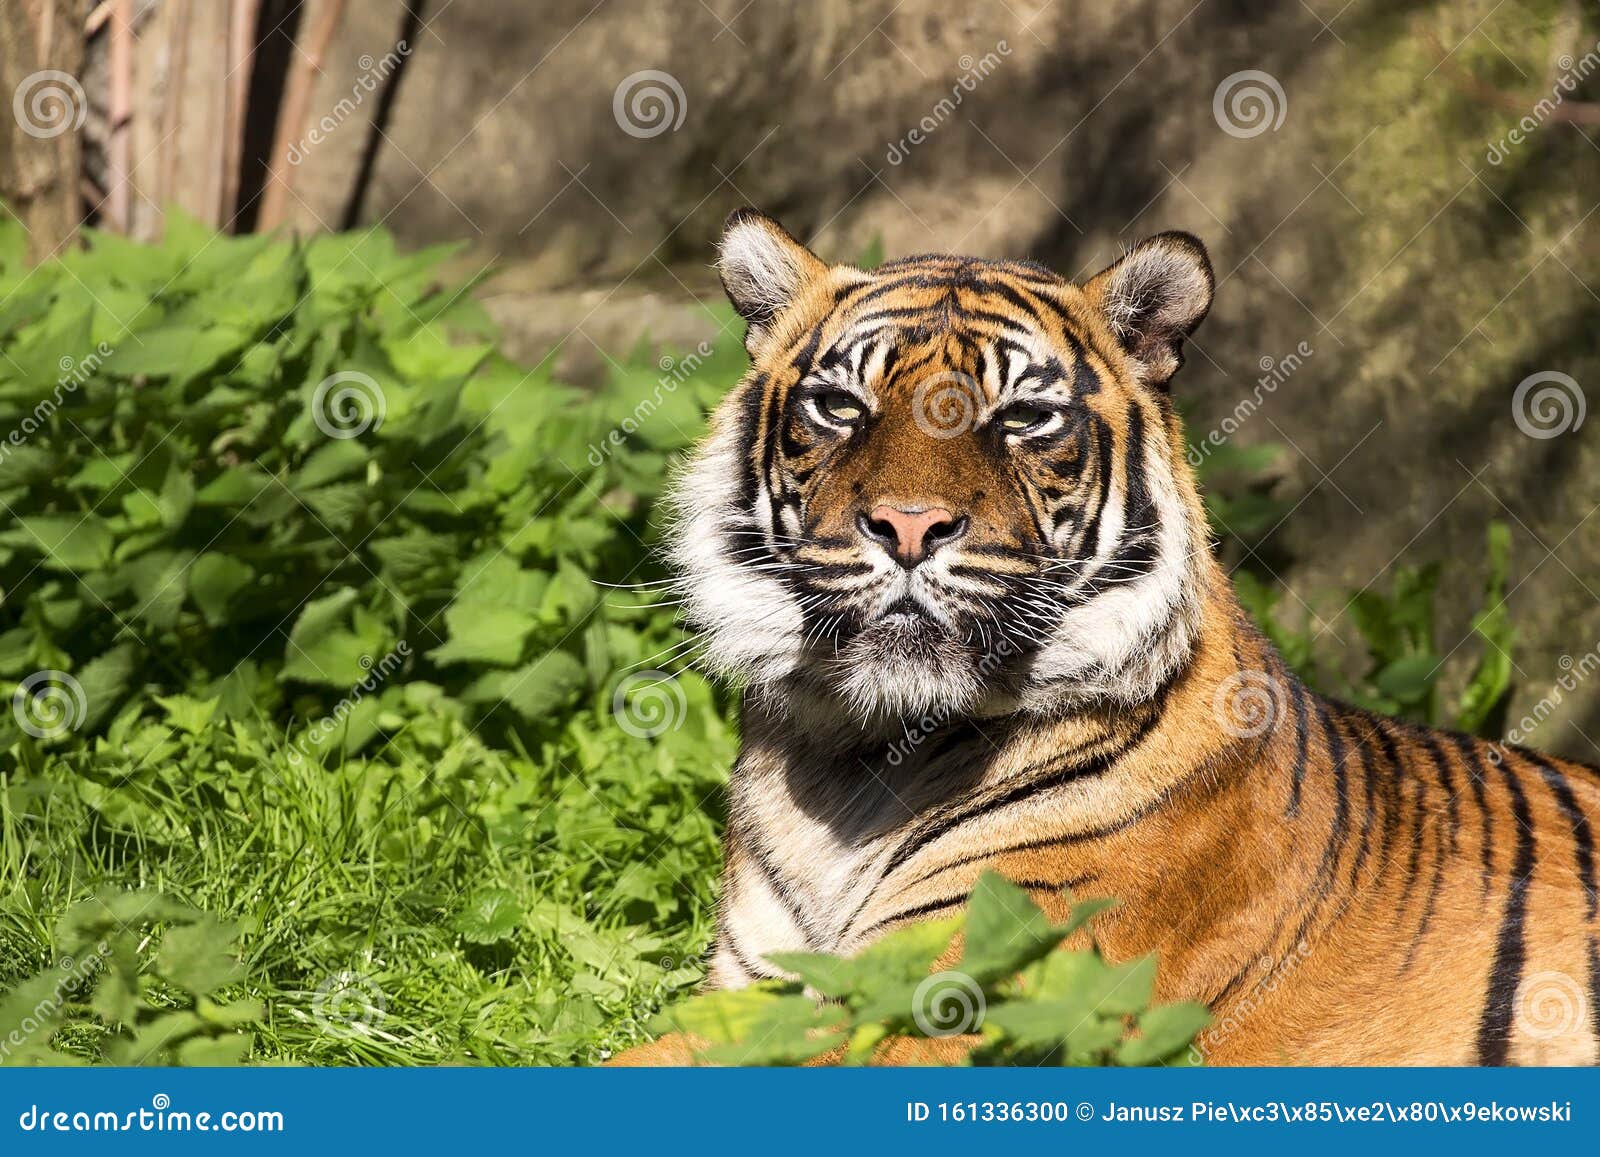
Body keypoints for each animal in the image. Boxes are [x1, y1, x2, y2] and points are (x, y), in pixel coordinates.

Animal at [614, 208, 1600, 1066]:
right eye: (842, 406)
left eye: (1023, 417)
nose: (908, 525)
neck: (858, 766)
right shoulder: (753, 985)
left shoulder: (951, 996)